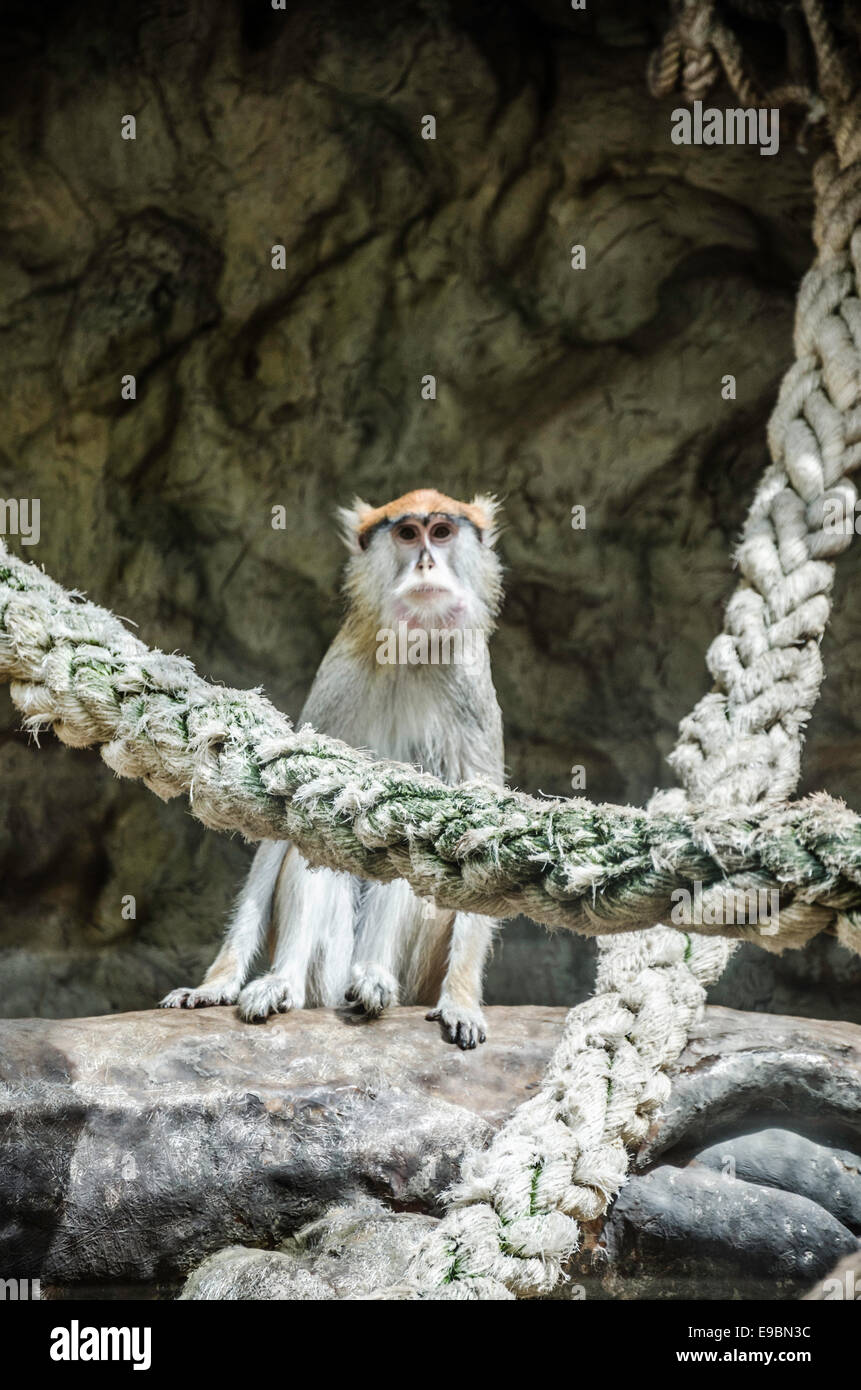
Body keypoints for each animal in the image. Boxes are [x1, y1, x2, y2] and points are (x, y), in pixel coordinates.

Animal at [161, 489, 505, 1048]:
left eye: (442, 532)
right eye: (407, 534)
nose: (426, 562)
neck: (409, 650)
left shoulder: (471, 682)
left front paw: (461, 999)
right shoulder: (337, 674)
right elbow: (288, 816)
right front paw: (216, 983)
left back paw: (373, 982)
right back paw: (283, 986)